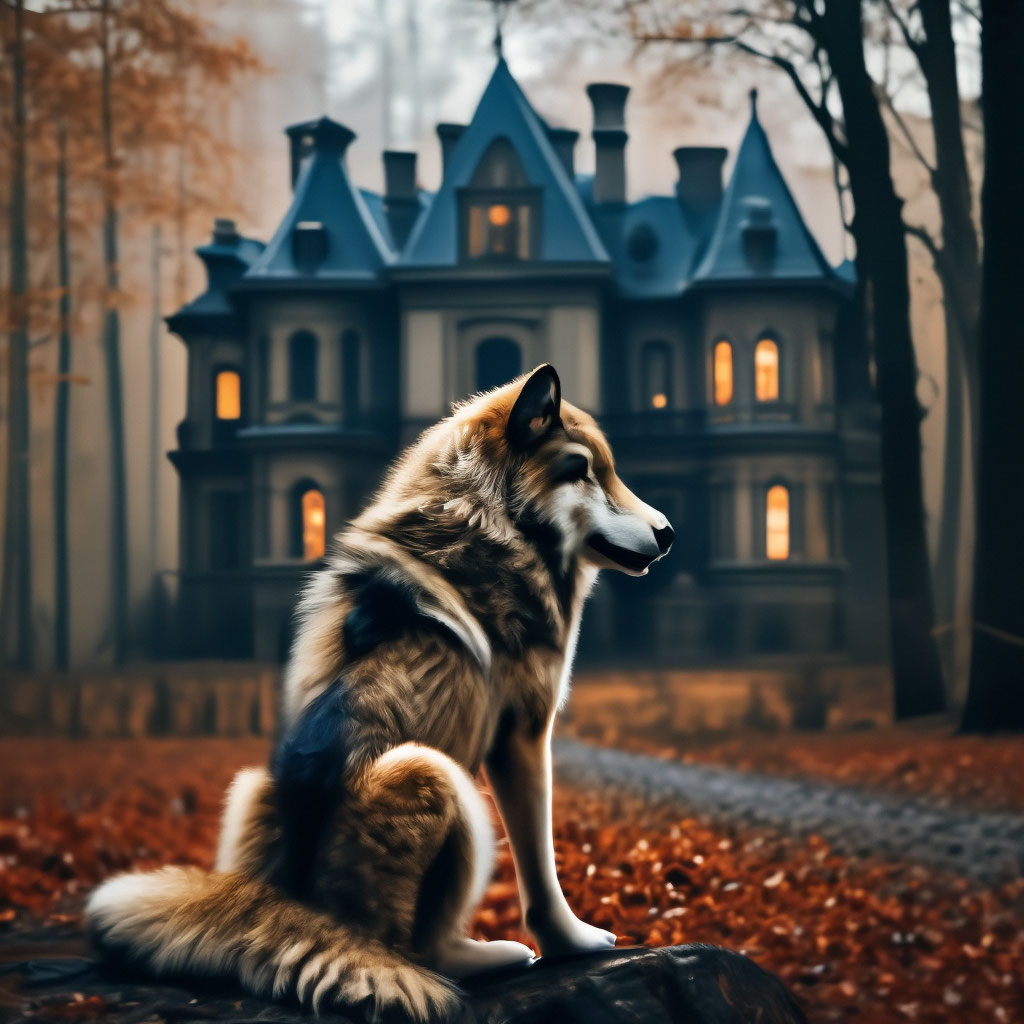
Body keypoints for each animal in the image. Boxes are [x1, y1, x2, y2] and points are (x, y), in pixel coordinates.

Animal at [87, 365, 673, 1020]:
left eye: (612, 470)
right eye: (584, 471)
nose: (670, 533)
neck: (493, 521)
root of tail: (282, 905)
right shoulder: (523, 736)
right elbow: (541, 870)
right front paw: (574, 943)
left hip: (250, 783)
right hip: (435, 775)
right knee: (419, 950)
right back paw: (491, 955)